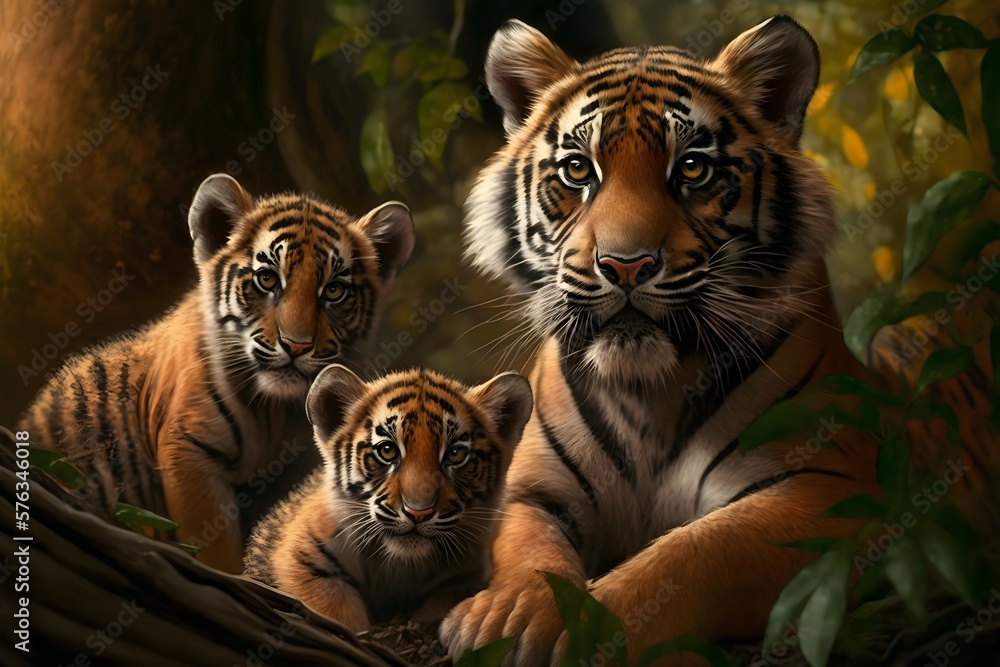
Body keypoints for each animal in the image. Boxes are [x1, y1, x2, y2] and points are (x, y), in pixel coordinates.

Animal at [18, 173, 415, 573]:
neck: (272, 411)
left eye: (334, 291)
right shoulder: (189, 452)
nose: (296, 345)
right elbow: (214, 548)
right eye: (267, 280)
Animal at [243, 364, 532, 632]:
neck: (398, 567)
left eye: (455, 454)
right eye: (387, 450)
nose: (418, 512)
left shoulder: (468, 576)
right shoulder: (305, 561)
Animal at [441, 16, 997, 666]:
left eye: (692, 169)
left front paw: (586, 633)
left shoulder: (829, 488)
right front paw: (506, 616)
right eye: (578, 170)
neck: (648, 390)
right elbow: (530, 555)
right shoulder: (531, 491)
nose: (625, 266)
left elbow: (690, 554)